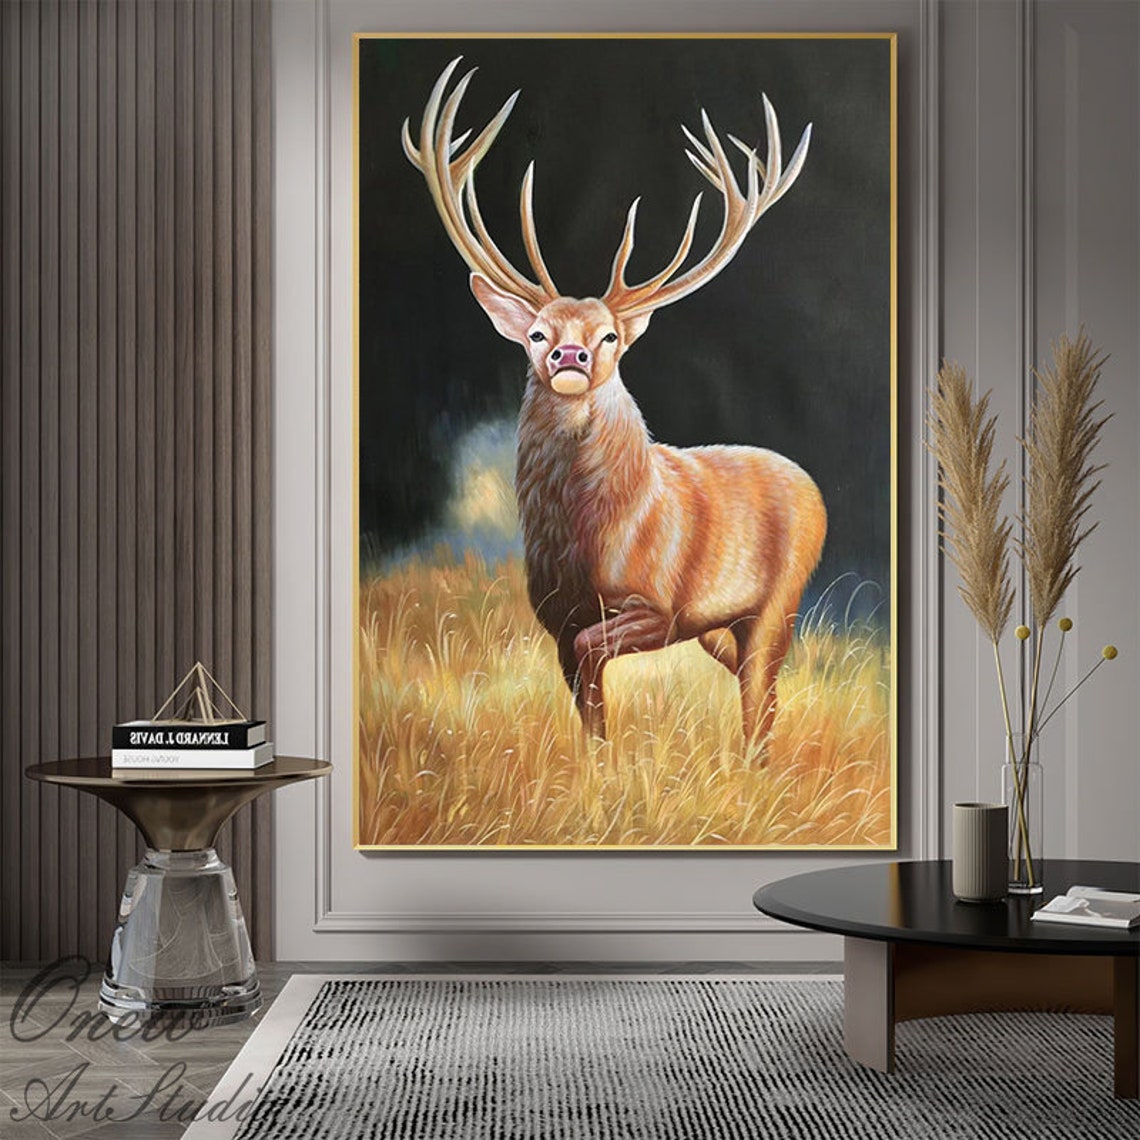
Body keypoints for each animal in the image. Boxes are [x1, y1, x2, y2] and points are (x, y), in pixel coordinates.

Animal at [401, 58, 827, 750]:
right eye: (536, 333)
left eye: (608, 337)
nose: (569, 356)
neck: (591, 538)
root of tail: (812, 487)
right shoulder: (556, 620)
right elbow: (591, 719)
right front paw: (600, 770)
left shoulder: (664, 605)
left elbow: (596, 650)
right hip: (722, 627)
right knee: (761, 695)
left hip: (778, 600)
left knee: (758, 700)